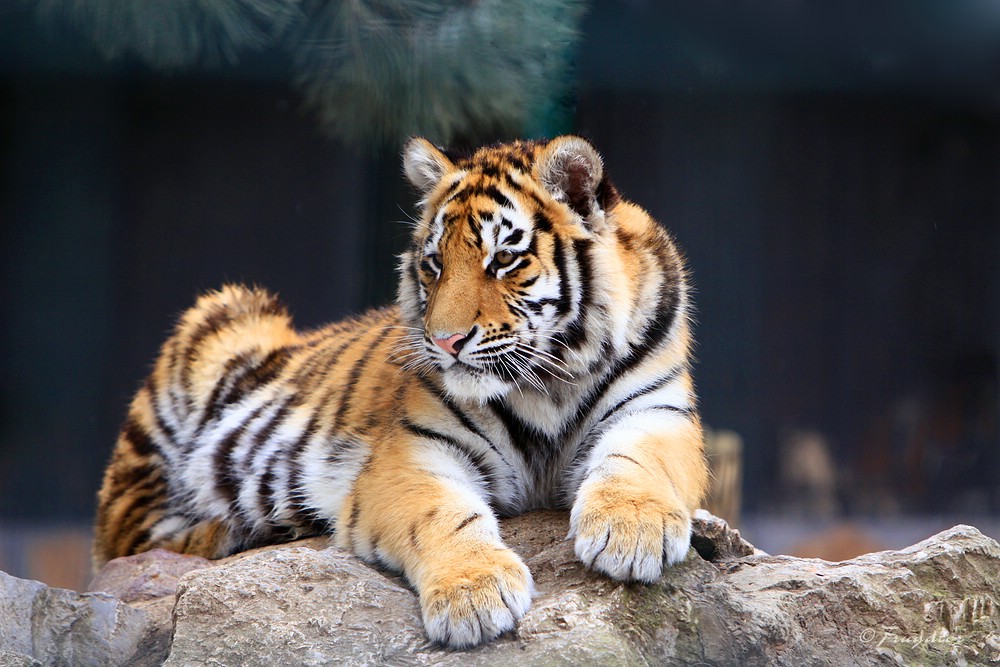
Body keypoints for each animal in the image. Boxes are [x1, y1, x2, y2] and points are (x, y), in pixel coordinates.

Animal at [93, 135, 709, 648]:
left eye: (504, 259)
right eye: (434, 264)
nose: (445, 340)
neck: (549, 378)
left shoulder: (658, 409)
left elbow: (639, 463)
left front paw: (633, 533)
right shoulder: (412, 451)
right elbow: (443, 516)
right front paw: (474, 596)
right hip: (220, 325)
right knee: (131, 535)